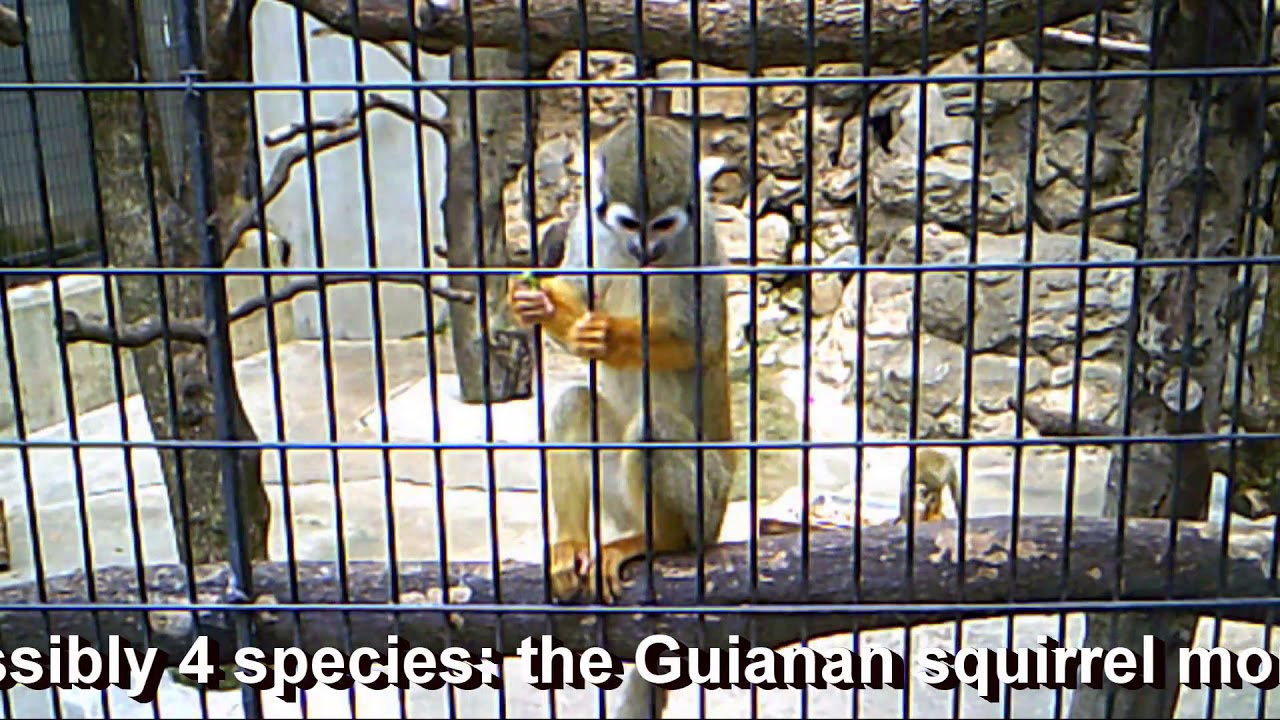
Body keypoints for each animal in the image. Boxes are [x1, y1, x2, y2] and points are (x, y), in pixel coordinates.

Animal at [507, 114, 735, 718]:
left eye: (665, 224)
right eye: (631, 223)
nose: (643, 247)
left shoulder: (701, 242)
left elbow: (701, 340)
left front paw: (607, 335)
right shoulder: (591, 228)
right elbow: (572, 287)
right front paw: (535, 303)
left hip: (712, 503)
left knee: (656, 427)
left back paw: (663, 542)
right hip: (619, 502)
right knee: (574, 404)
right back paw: (573, 545)